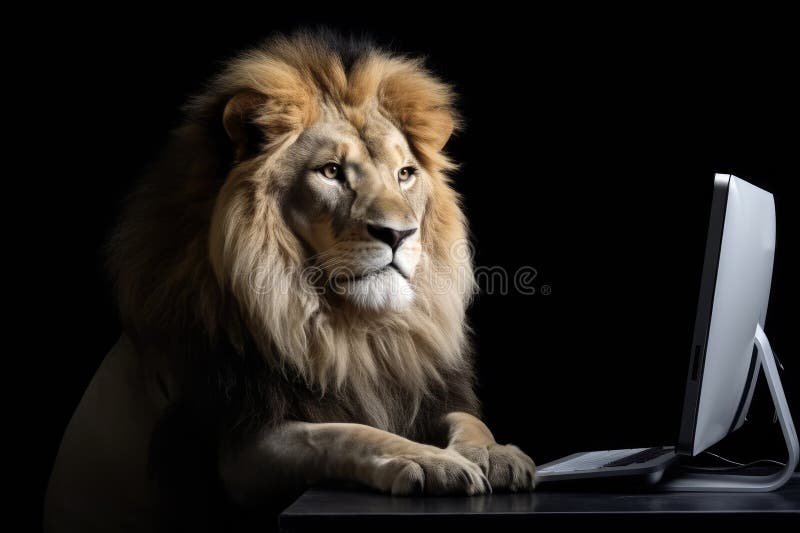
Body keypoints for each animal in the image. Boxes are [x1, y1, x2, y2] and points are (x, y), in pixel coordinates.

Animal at [44, 31, 536, 532]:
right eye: (332, 172)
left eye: (405, 174)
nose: (400, 234)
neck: (355, 333)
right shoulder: (242, 447)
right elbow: (348, 434)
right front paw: (430, 460)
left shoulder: (419, 389)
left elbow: (468, 420)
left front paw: (494, 453)